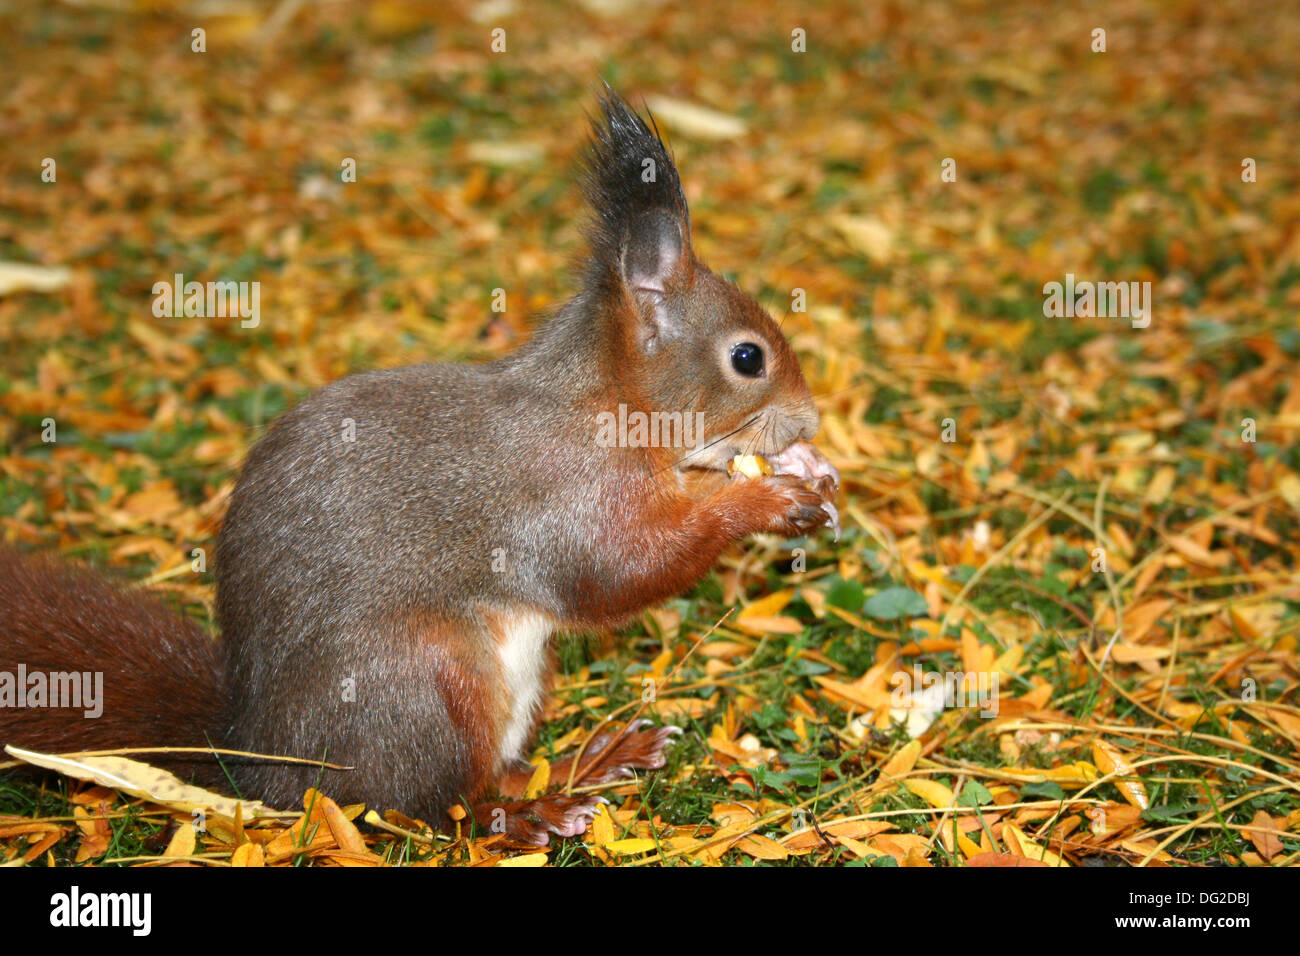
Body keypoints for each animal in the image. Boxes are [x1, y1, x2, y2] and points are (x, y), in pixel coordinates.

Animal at [0, 90, 839, 844]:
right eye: (748, 359)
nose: (811, 419)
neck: (604, 404)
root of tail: (266, 762)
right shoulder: (562, 501)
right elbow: (620, 571)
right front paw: (767, 500)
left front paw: (802, 472)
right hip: (429, 681)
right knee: (433, 806)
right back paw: (530, 814)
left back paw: (587, 764)